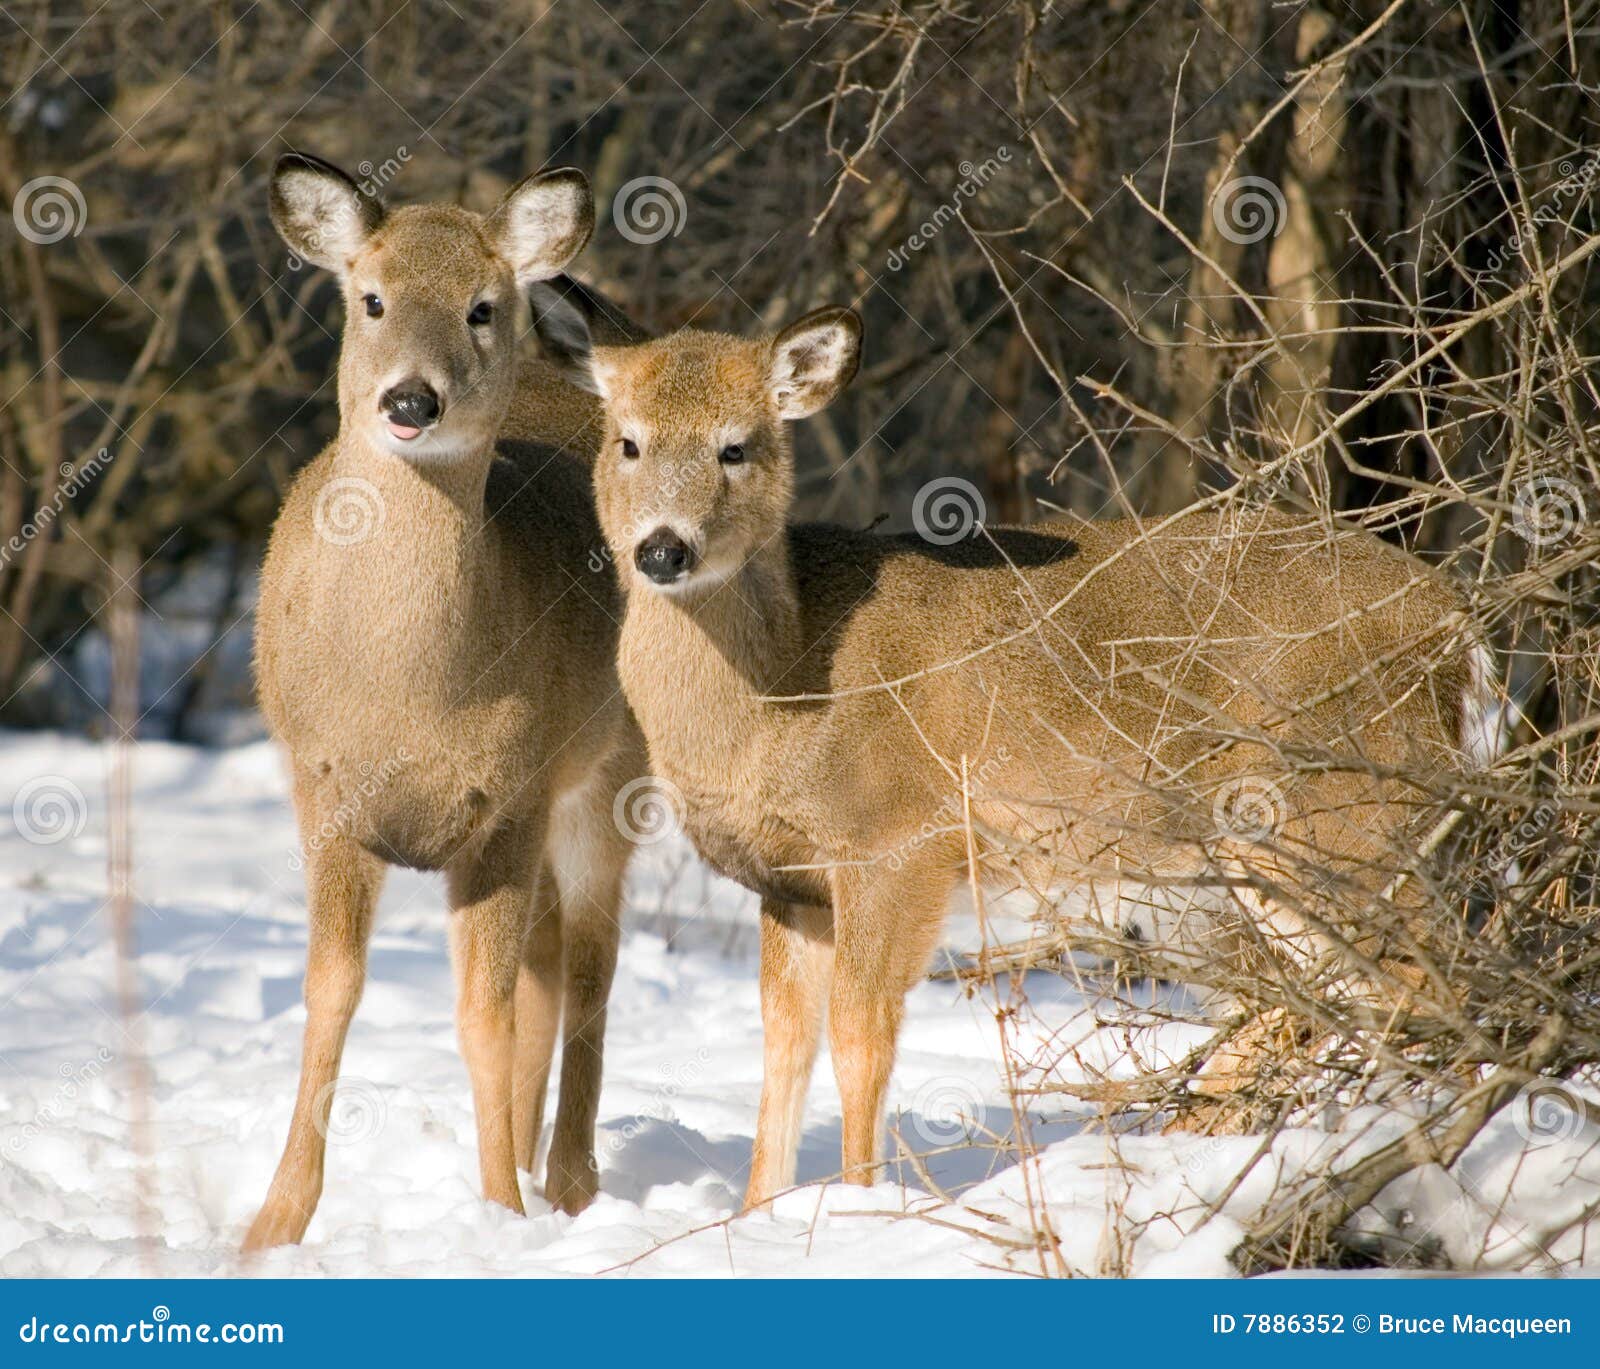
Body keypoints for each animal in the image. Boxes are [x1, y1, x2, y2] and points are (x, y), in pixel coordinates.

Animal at [244, 153, 647, 1250]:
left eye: (480, 306)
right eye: (372, 298)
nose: (411, 399)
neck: (408, 697)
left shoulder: (507, 799)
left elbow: (482, 1013)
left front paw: (499, 1213)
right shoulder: (324, 789)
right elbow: (331, 992)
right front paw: (274, 1225)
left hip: (615, 772)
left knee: (588, 957)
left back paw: (567, 1179)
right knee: (553, 957)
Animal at [532, 299, 1493, 1209]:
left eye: (736, 446)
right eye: (628, 440)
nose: (664, 548)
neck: (784, 687)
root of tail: (1452, 623)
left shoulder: (897, 839)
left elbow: (860, 1032)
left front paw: (855, 1206)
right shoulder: (795, 881)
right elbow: (784, 1043)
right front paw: (756, 1215)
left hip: (1338, 817)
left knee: (1427, 986)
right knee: (1306, 997)